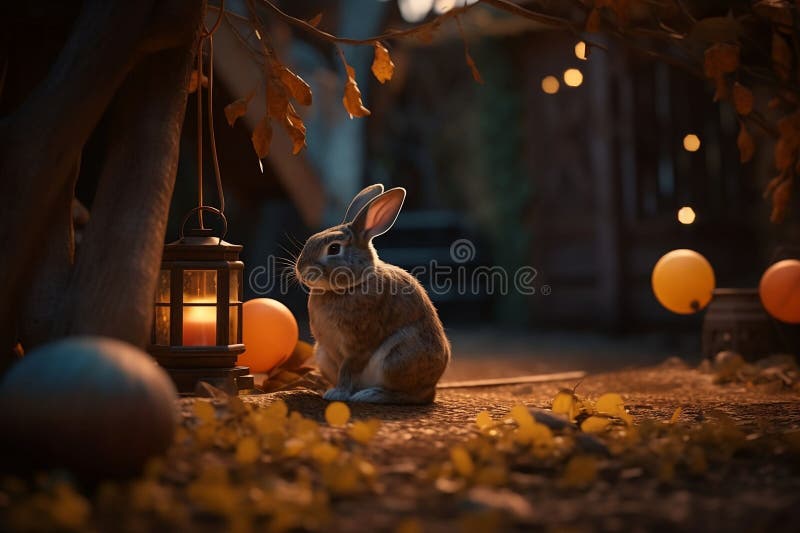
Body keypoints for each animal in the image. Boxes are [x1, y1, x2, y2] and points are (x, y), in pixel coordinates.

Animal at [294, 184, 451, 404]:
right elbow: (342, 370)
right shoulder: (331, 350)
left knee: (408, 395)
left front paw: (338, 394)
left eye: (333, 249)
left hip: (397, 358)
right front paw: (331, 390)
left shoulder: (358, 344)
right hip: (322, 353)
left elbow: (348, 369)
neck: (351, 286)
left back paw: (370, 394)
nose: (301, 270)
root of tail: (433, 388)